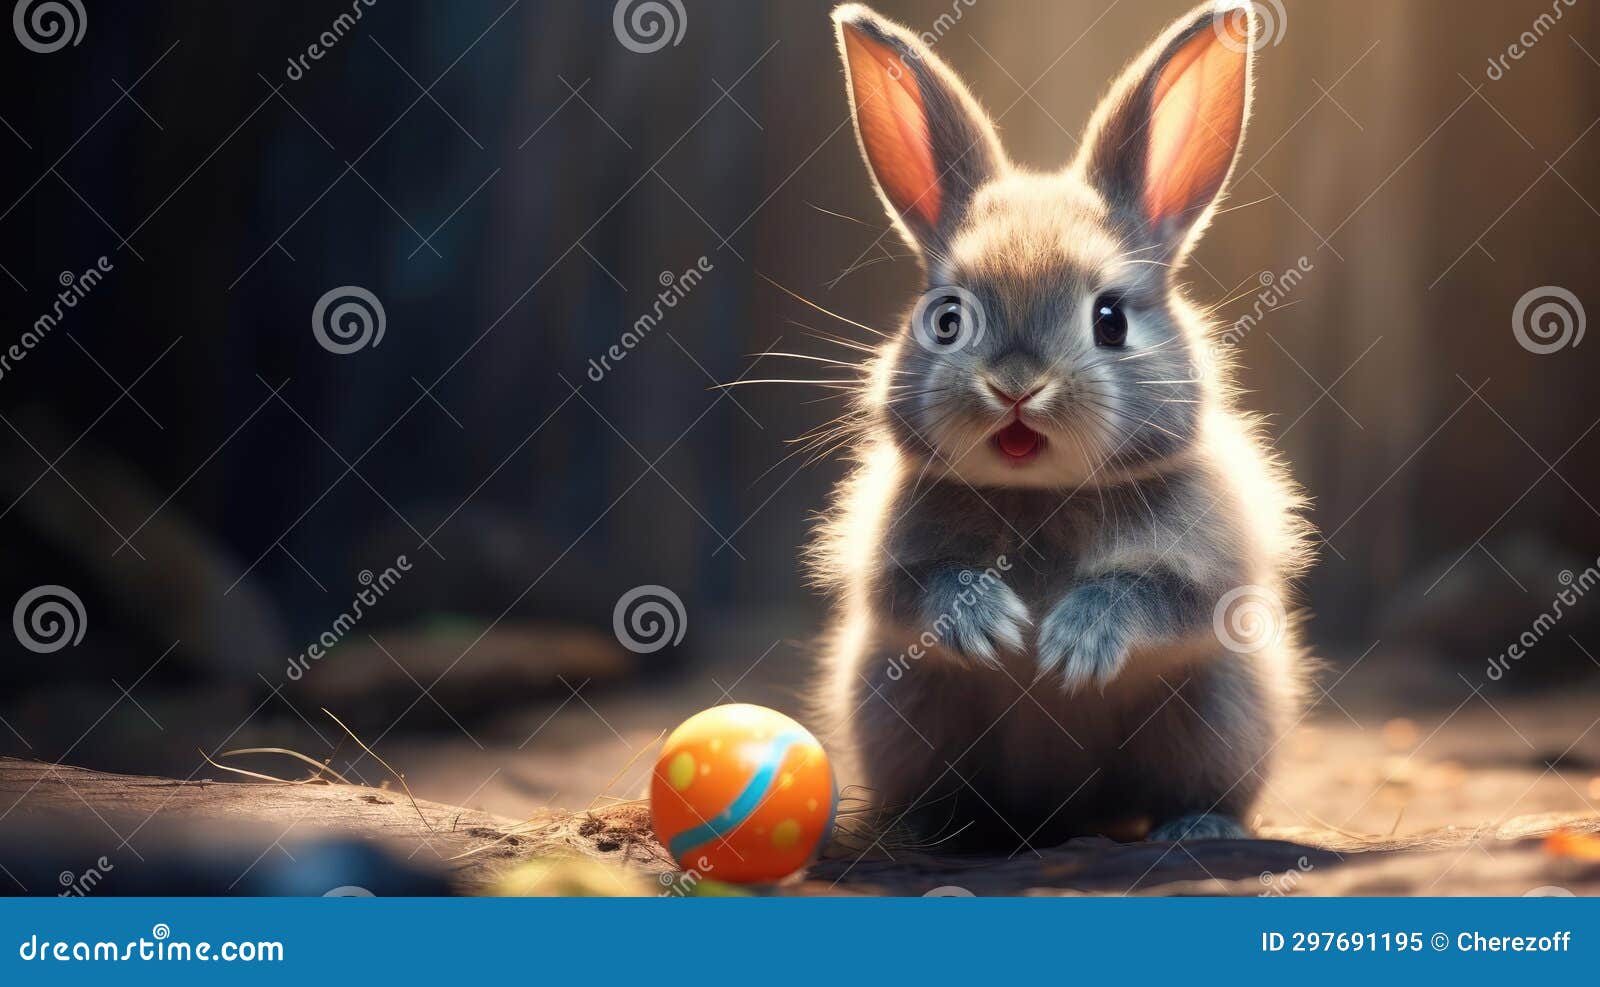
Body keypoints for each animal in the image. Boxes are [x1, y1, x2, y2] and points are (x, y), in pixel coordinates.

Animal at [806, 2, 1314, 851]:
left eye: (1110, 319)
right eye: (947, 318)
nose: (1015, 386)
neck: (1041, 494)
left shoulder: (1213, 574)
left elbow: (1155, 595)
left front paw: (1073, 639)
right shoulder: (889, 569)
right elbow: (912, 589)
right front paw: (993, 624)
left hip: (1218, 705)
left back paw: (1197, 829)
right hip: (901, 706)